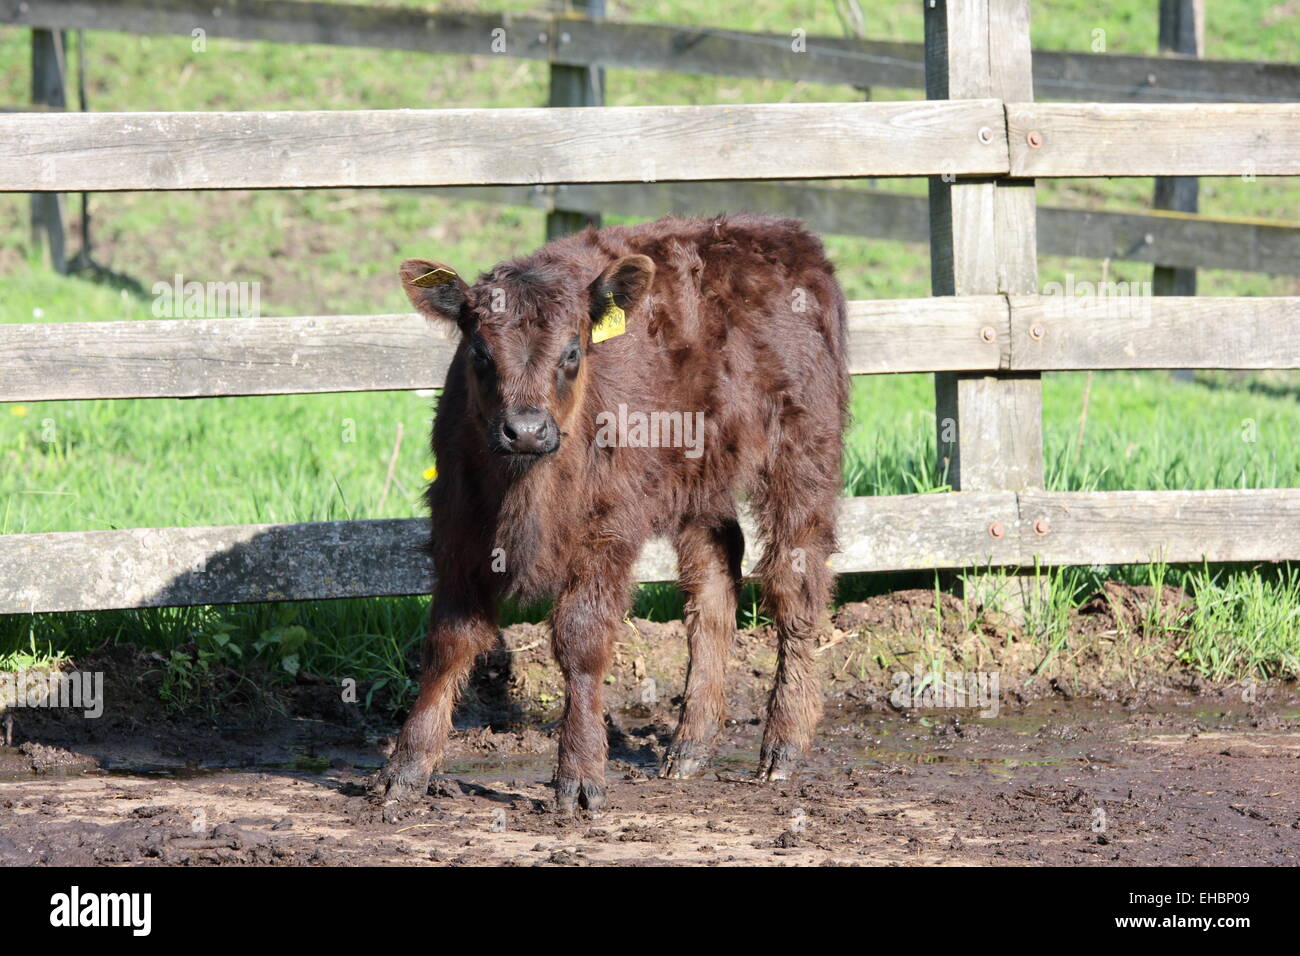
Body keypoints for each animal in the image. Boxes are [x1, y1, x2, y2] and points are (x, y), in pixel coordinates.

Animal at [375, 214, 849, 813]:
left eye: (573, 352)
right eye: (479, 353)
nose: (525, 430)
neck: (527, 490)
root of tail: (785, 233)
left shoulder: (607, 532)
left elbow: (580, 640)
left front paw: (579, 777)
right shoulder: (457, 529)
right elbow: (448, 644)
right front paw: (406, 770)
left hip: (802, 454)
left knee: (795, 580)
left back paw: (782, 746)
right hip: (701, 478)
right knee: (714, 581)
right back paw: (689, 747)